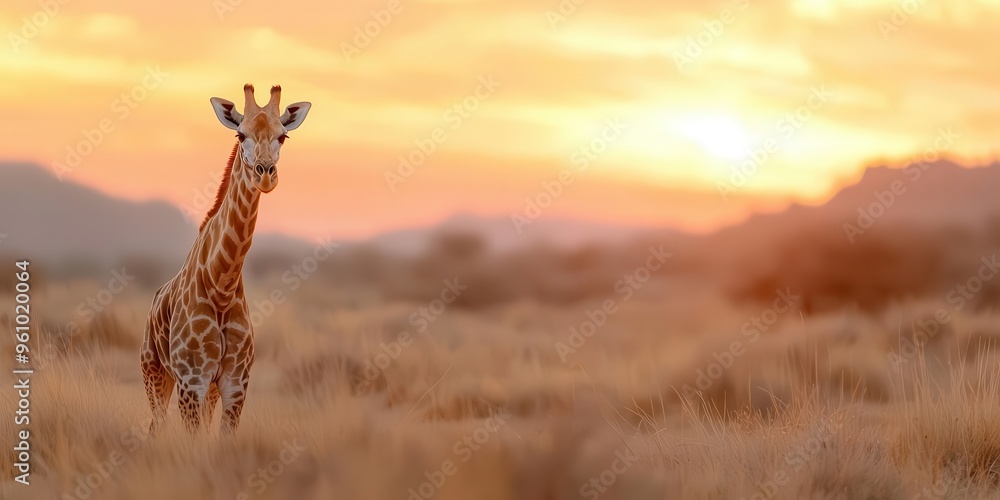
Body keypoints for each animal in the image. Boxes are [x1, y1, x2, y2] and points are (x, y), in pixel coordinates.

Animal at [140, 84, 311, 434]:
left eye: (283, 136)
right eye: (240, 134)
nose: (265, 175)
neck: (222, 285)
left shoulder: (235, 384)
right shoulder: (191, 382)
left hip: (205, 390)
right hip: (154, 372)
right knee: (155, 427)